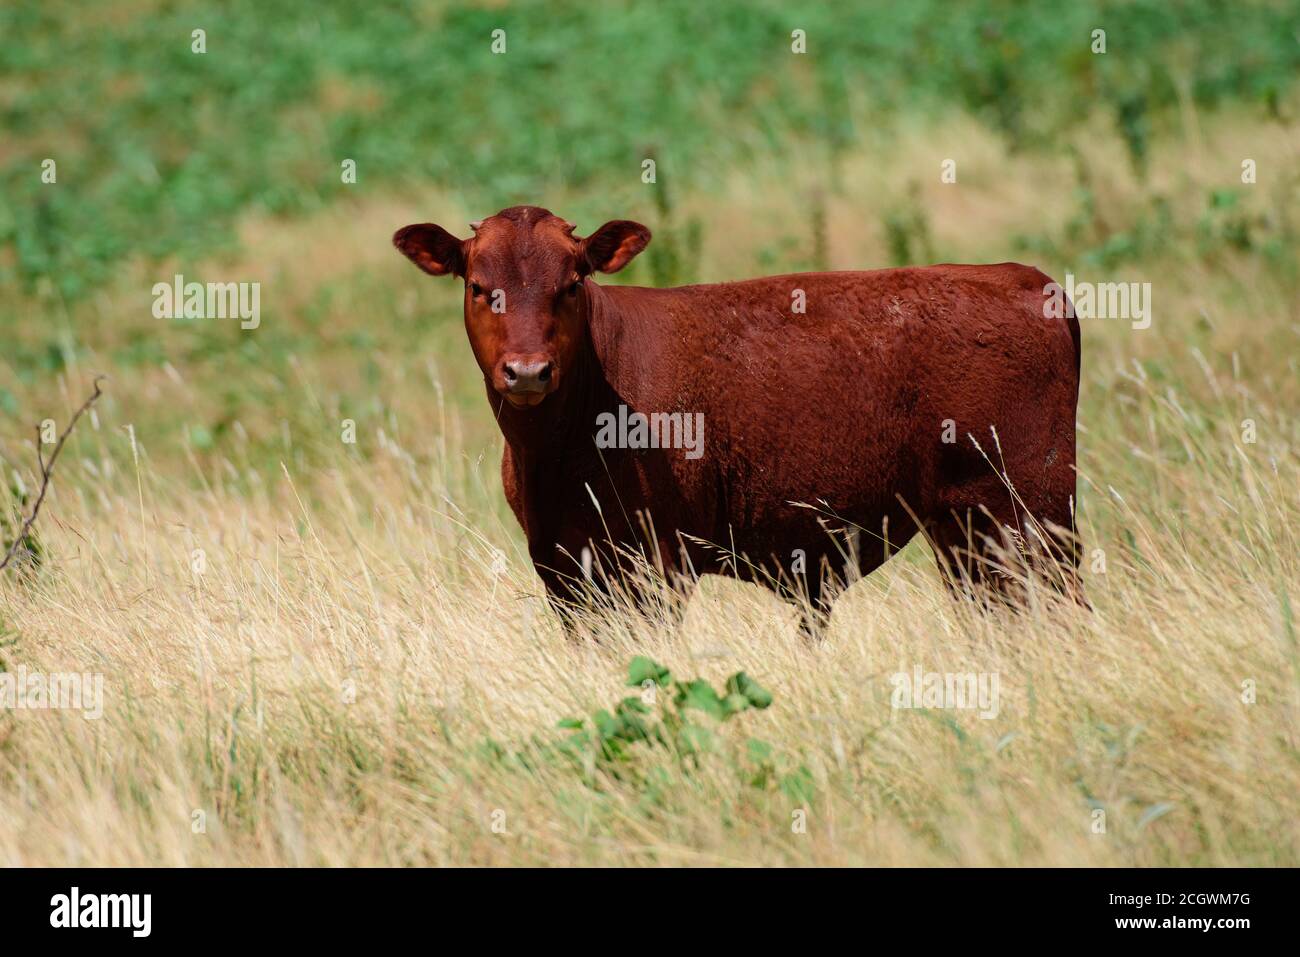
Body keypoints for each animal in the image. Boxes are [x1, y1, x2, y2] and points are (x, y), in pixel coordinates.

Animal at [394, 205, 1083, 634]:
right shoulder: (562, 564)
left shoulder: (657, 561)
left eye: (572, 282)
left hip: (1033, 510)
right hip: (967, 531)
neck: (558, 454)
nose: (529, 372)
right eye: (479, 286)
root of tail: (1022, 278)